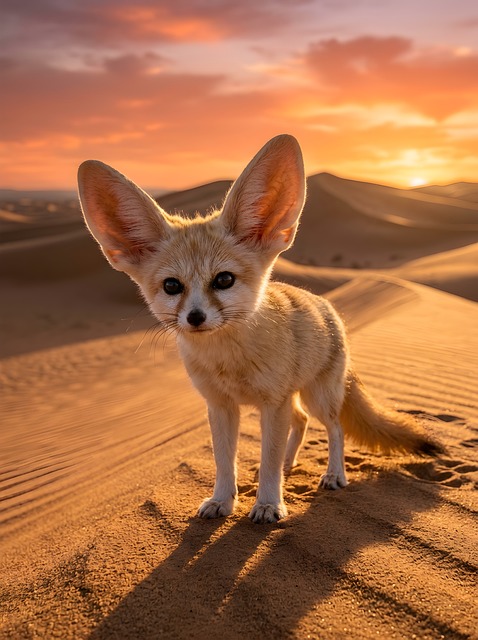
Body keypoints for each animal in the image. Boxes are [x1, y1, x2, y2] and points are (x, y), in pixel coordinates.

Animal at [77, 134, 443, 524]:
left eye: (224, 280)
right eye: (172, 286)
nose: (195, 318)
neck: (229, 361)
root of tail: (329, 307)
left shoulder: (272, 402)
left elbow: (268, 459)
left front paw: (268, 503)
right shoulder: (221, 406)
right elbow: (225, 461)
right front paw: (222, 500)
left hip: (318, 397)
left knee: (334, 428)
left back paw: (334, 474)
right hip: (297, 400)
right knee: (301, 423)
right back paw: (289, 464)